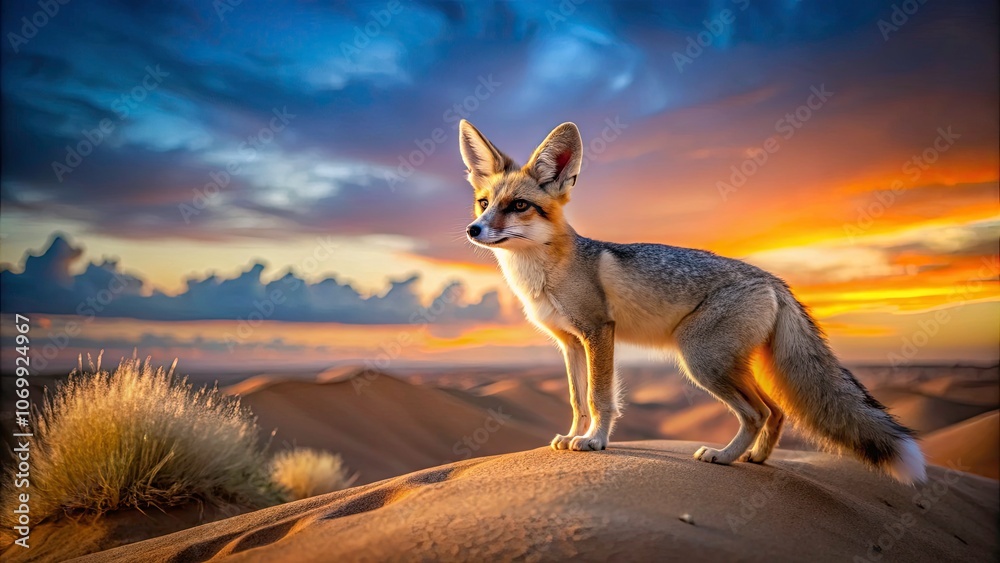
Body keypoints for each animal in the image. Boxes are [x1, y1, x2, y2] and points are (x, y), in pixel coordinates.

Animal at [458, 119, 926, 484]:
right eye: (483, 203)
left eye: (519, 205)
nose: (473, 230)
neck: (543, 272)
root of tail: (774, 280)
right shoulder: (570, 342)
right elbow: (577, 398)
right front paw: (572, 435)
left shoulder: (598, 332)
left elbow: (599, 397)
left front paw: (595, 441)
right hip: (725, 364)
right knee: (776, 410)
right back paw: (755, 458)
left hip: (701, 359)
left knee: (757, 413)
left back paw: (724, 457)